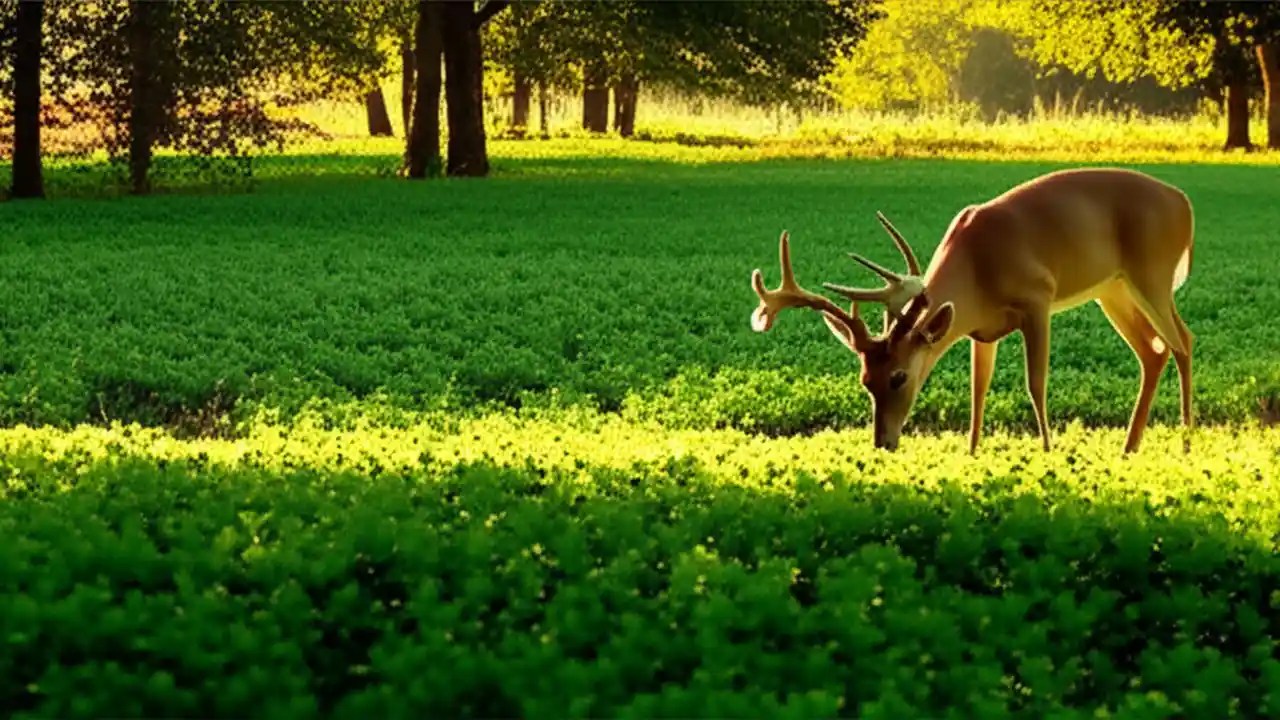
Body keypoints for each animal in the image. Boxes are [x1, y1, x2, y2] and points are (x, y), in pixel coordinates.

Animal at [749, 167, 1195, 455]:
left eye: (898, 377)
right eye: (865, 380)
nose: (883, 444)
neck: (977, 269)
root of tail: (1185, 204)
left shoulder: (1038, 297)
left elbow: (1036, 382)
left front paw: (1048, 450)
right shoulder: (981, 329)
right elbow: (978, 389)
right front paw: (972, 452)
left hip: (1152, 273)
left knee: (1182, 342)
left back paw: (1186, 441)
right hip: (1112, 289)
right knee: (1154, 350)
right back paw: (1129, 447)